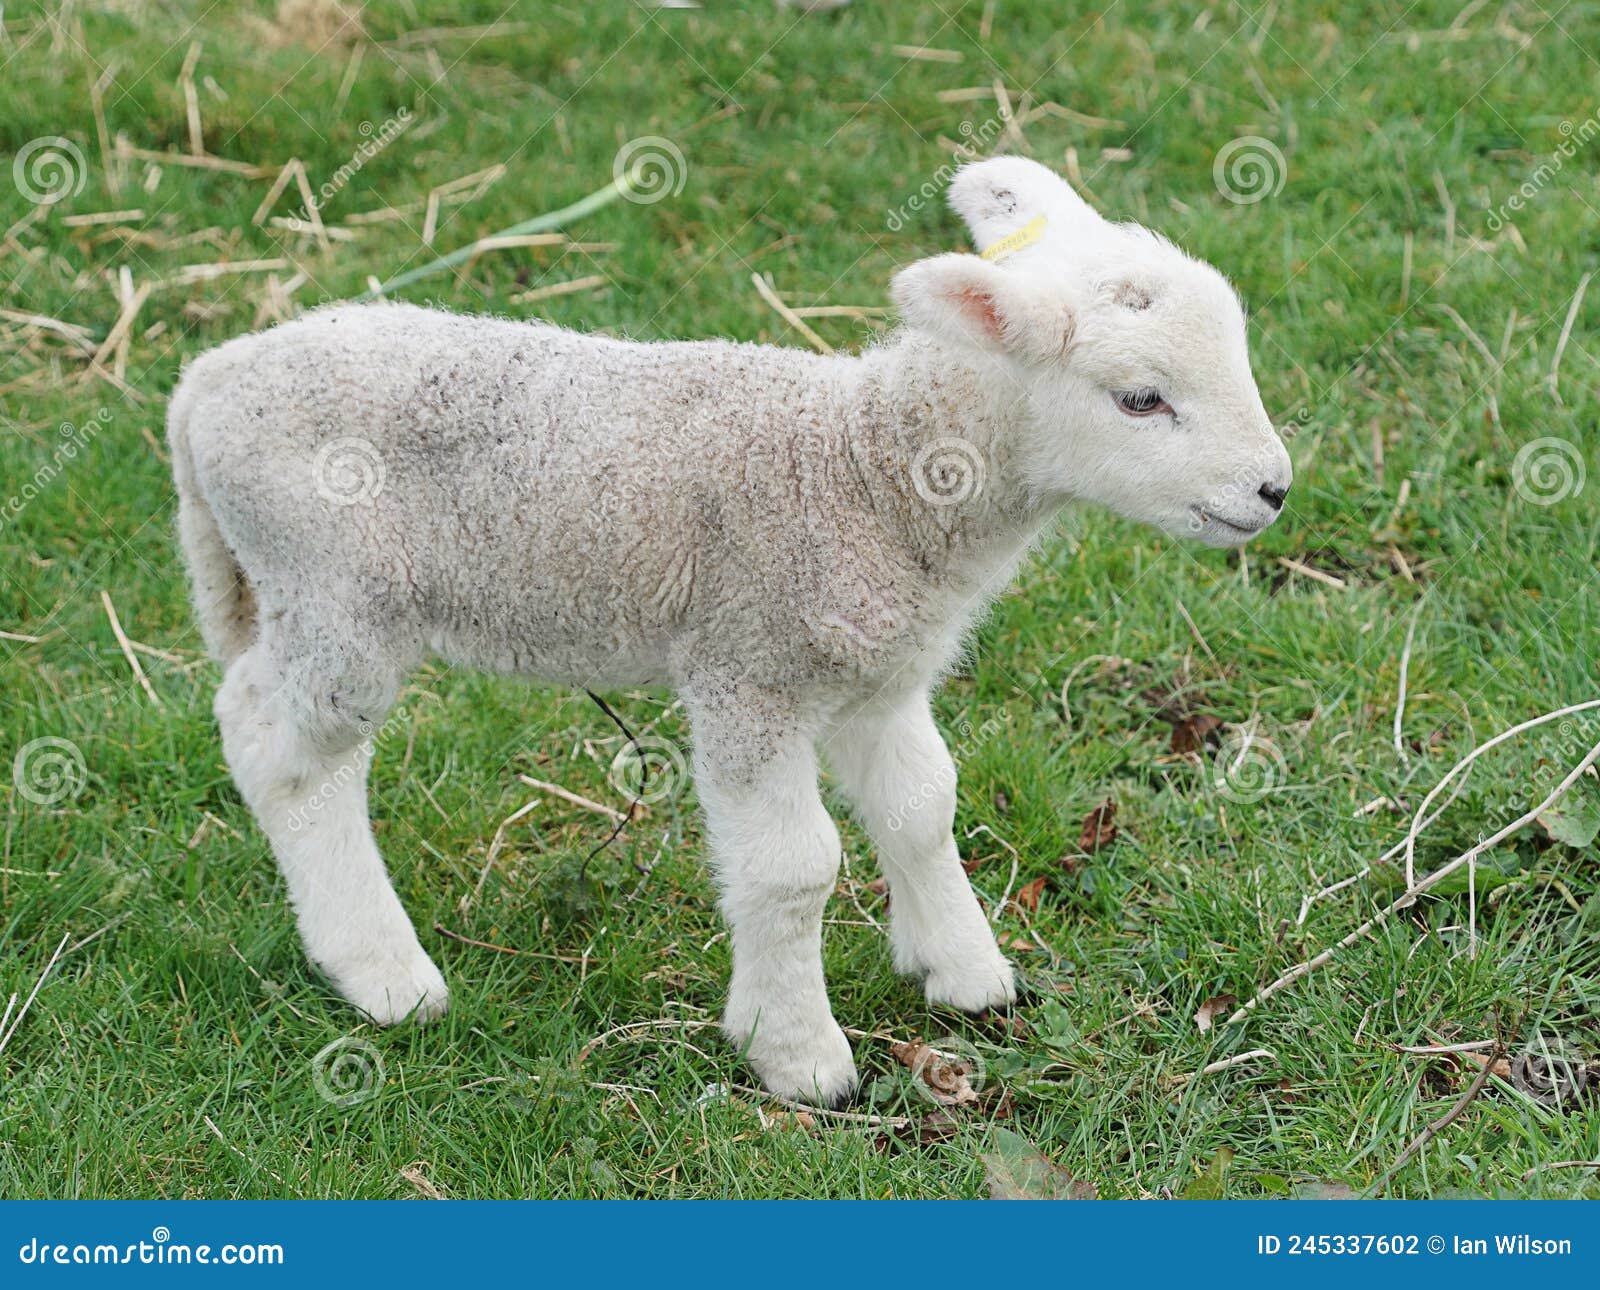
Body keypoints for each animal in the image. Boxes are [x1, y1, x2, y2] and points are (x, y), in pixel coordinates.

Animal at [169, 157, 1292, 1106]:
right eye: (1140, 399)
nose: (1273, 490)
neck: (867, 473)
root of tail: (204, 385)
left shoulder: (879, 674)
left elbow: (924, 808)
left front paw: (966, 972)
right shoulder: (749, 670)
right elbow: (797, 866)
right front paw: (795, 1054)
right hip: (335, 591)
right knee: (281, 751)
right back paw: (383, 973)